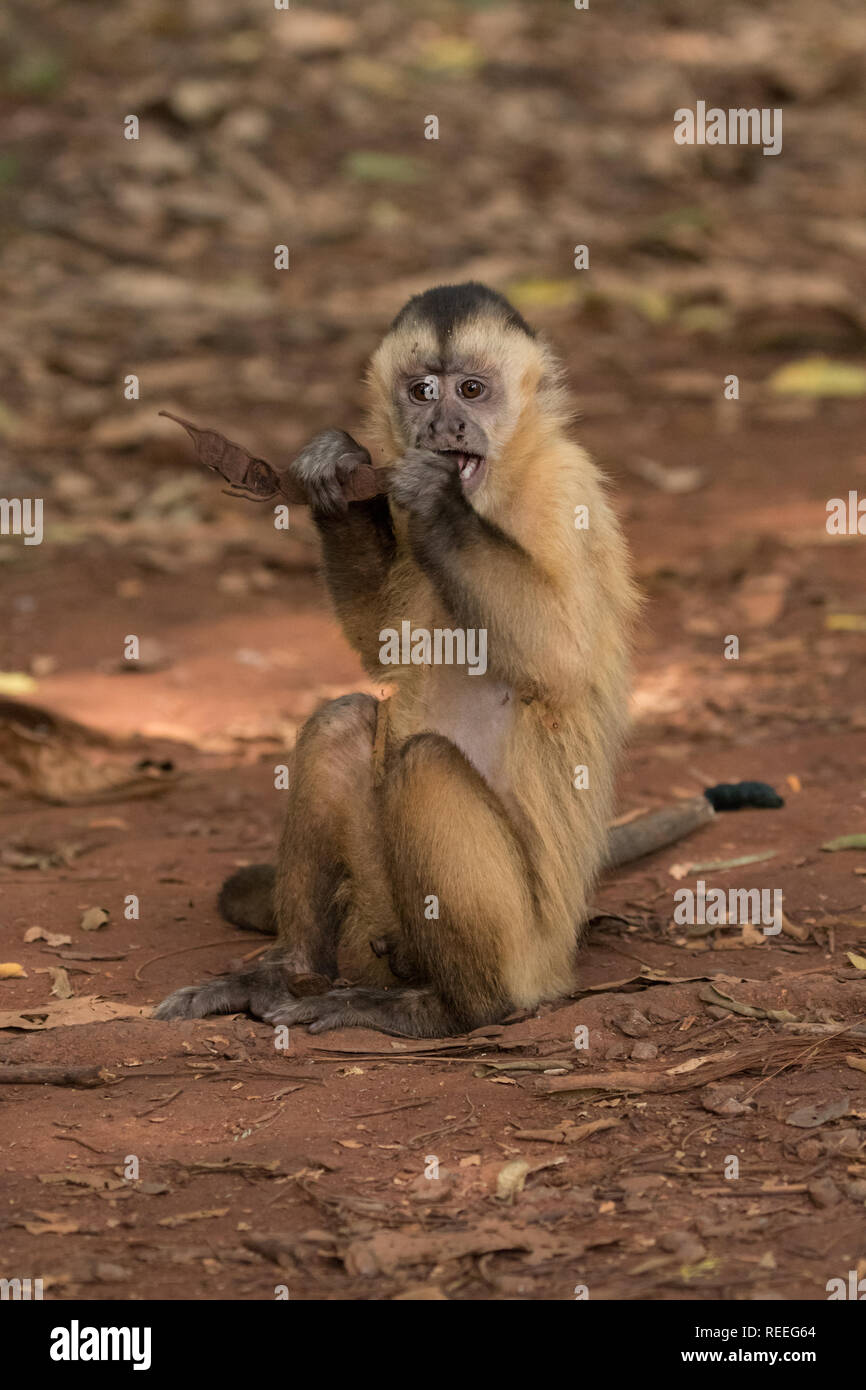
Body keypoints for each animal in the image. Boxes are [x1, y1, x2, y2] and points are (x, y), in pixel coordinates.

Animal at [154, 280, 643, 1037]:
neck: (492, 492)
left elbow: (563, 658)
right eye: (421, 392)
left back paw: (454, 1008)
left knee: (424, 766)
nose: (444, 428)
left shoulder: (568, 489)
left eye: (471, 390)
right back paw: (286, 971)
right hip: (377, 920)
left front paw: (436, 496)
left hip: (530, 951)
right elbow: (381, 646)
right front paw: (331, 477)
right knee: (343, 726)